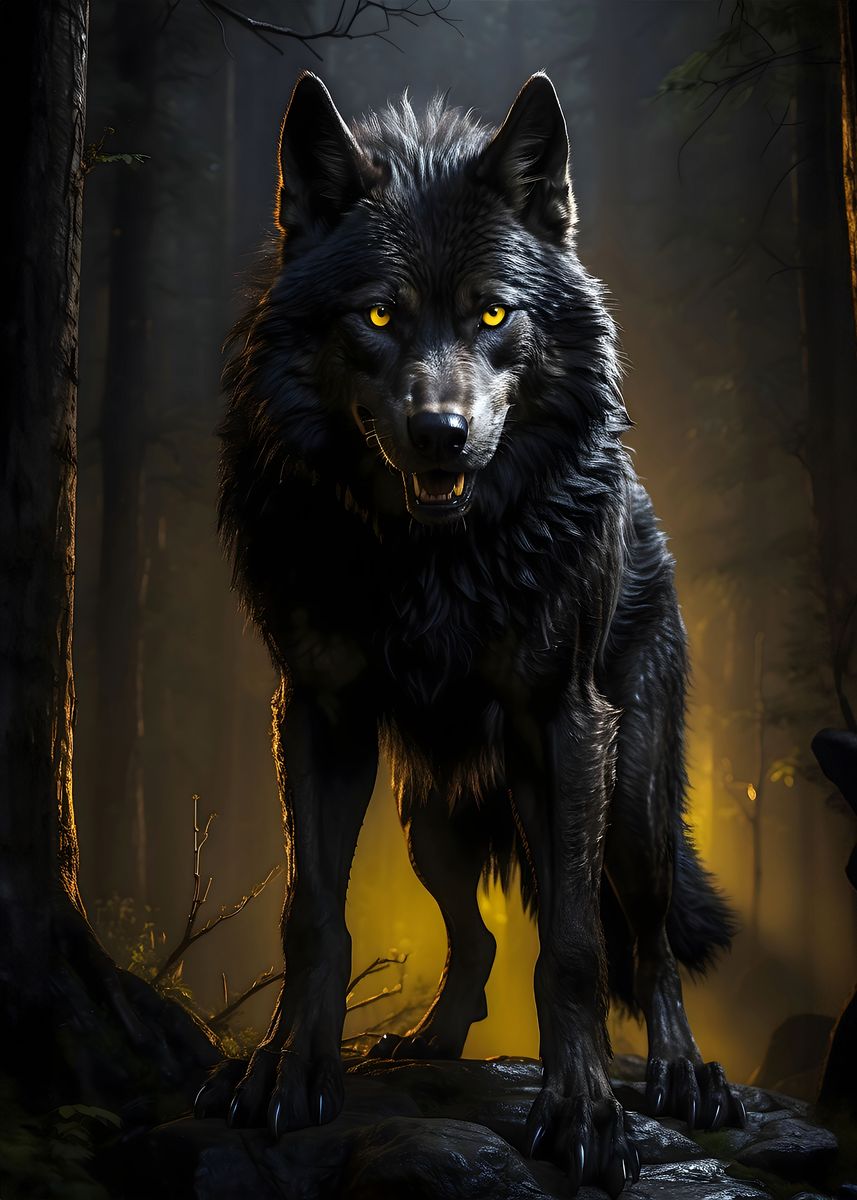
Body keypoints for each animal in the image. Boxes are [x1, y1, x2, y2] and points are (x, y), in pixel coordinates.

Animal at [195, 71, 745, 1195]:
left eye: (493, 311)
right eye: (377, 314)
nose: (440, 435)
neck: (432, 563)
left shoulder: (563, 725)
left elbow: (574, 948)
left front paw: (582, 1111)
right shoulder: (316, 716)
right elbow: (311, 916)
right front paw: (286, 1075)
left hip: (630, 801)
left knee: (649, 941)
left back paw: (683, 1076)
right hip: (432, 825)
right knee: (479, 941)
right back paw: (429, 1044)